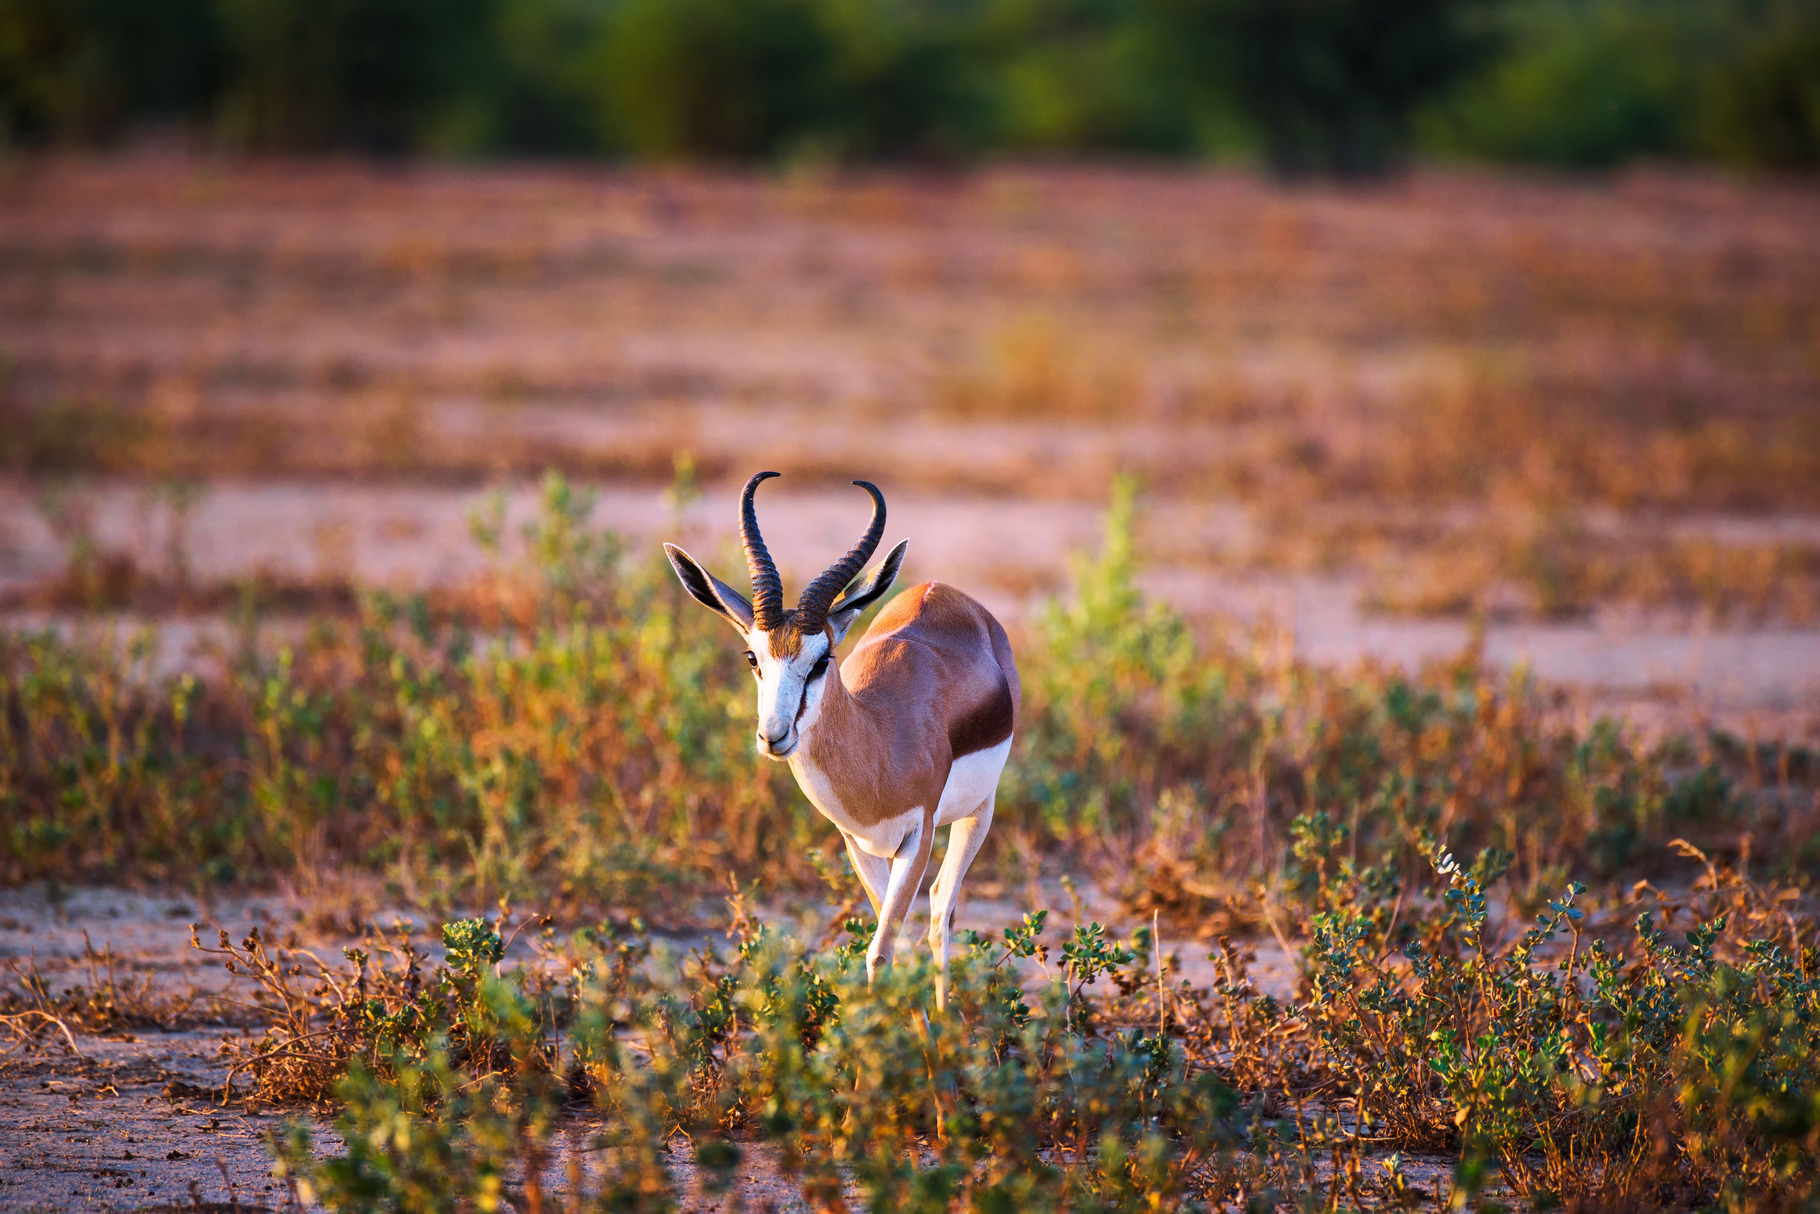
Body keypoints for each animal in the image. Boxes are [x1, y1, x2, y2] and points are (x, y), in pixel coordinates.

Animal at [664, 472, 1019, 1008]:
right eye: (752, 657)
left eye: (821, 659)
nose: (774, 736)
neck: (878, 741)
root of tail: (942, 591)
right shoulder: (856, 841)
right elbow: (887, 944)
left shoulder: (918, 836)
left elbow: (881, 950)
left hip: (980, 810)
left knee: (941, 908)